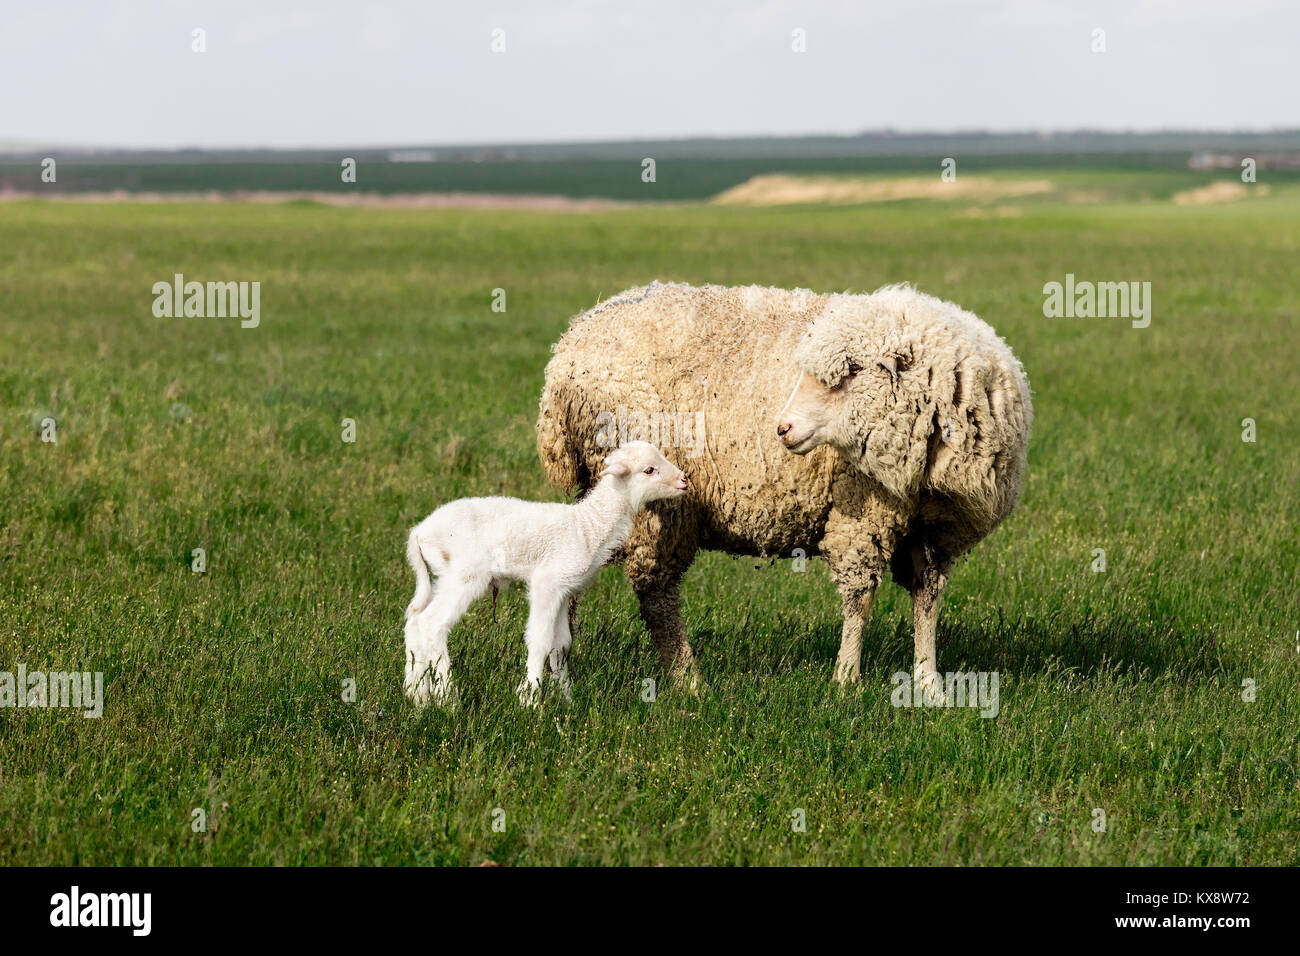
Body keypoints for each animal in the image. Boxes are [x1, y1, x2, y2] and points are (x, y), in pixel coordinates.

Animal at [403, 440, 689, 707]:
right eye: (649, 470)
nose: (684, 480)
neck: (589, 526)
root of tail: (419, 532)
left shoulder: (564, 589)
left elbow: (560, 645)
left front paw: (567, 700)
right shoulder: (547, 582)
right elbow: (539, 641)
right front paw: (529, 701)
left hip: (443, 574)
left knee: (415, 619)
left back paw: (417, 694)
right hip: (466, 574)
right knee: (432, 623)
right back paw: (448, 699)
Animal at [536, 281, 1031, 694]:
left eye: (853, 371)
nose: (782, 428)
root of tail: (565, 354)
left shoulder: (934, 529)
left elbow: (927, 599)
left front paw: (929, 683)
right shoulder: (862, 514)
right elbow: (860, 596)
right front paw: (846, 680)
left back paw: (563, 665)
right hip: (658, 501)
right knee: (655, 588)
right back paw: (688, 680)